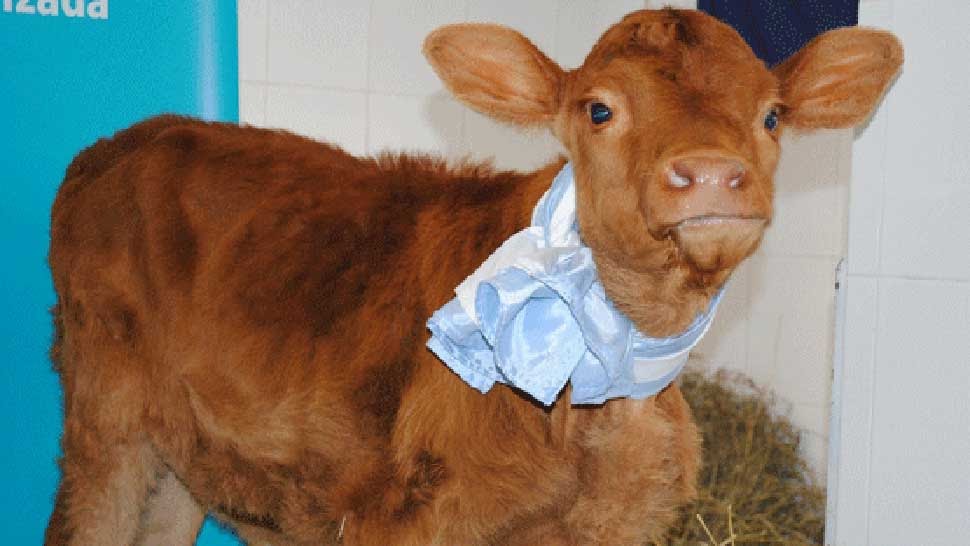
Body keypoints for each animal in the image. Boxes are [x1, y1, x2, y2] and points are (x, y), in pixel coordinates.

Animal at [44, 8, 902, 546]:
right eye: (598, 110)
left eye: (771, 116)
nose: (713, 176)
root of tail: (123, 142)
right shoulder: (402, 519)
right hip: (107, 424)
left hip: (188, 464)